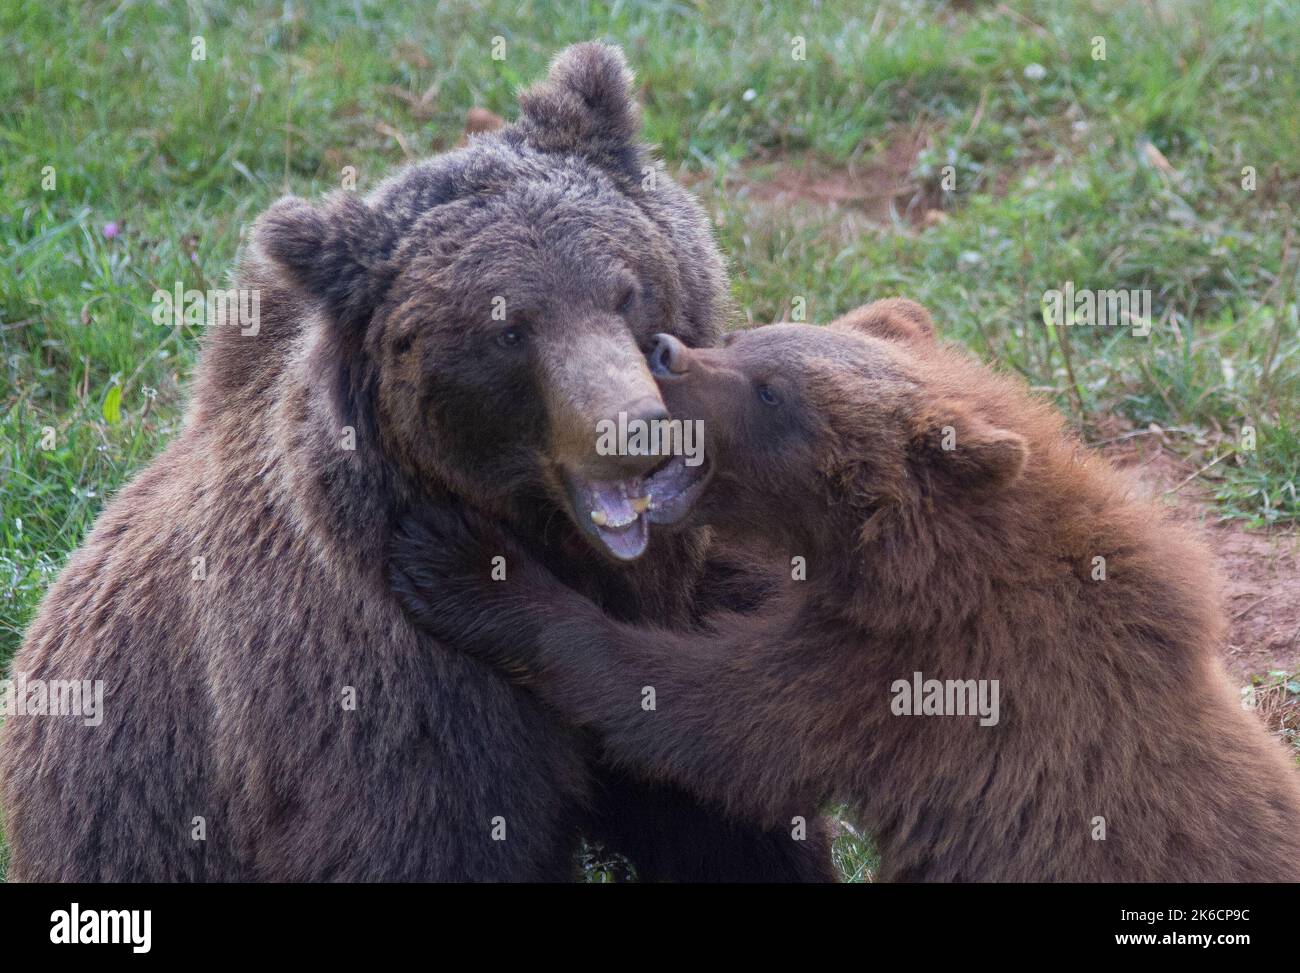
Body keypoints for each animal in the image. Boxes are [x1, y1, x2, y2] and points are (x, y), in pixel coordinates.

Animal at [0, 43, 833, 882]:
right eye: (507, 330)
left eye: (626, 291)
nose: (635, 430)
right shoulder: (397, 691)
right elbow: (432, 833)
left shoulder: (706, 597)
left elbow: (731, 797)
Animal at [391, 298, 1300, 882]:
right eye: (749, 337)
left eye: (772, 392)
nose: (665, 351)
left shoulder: (909, 679)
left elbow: (704, 715)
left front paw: (465, 565)